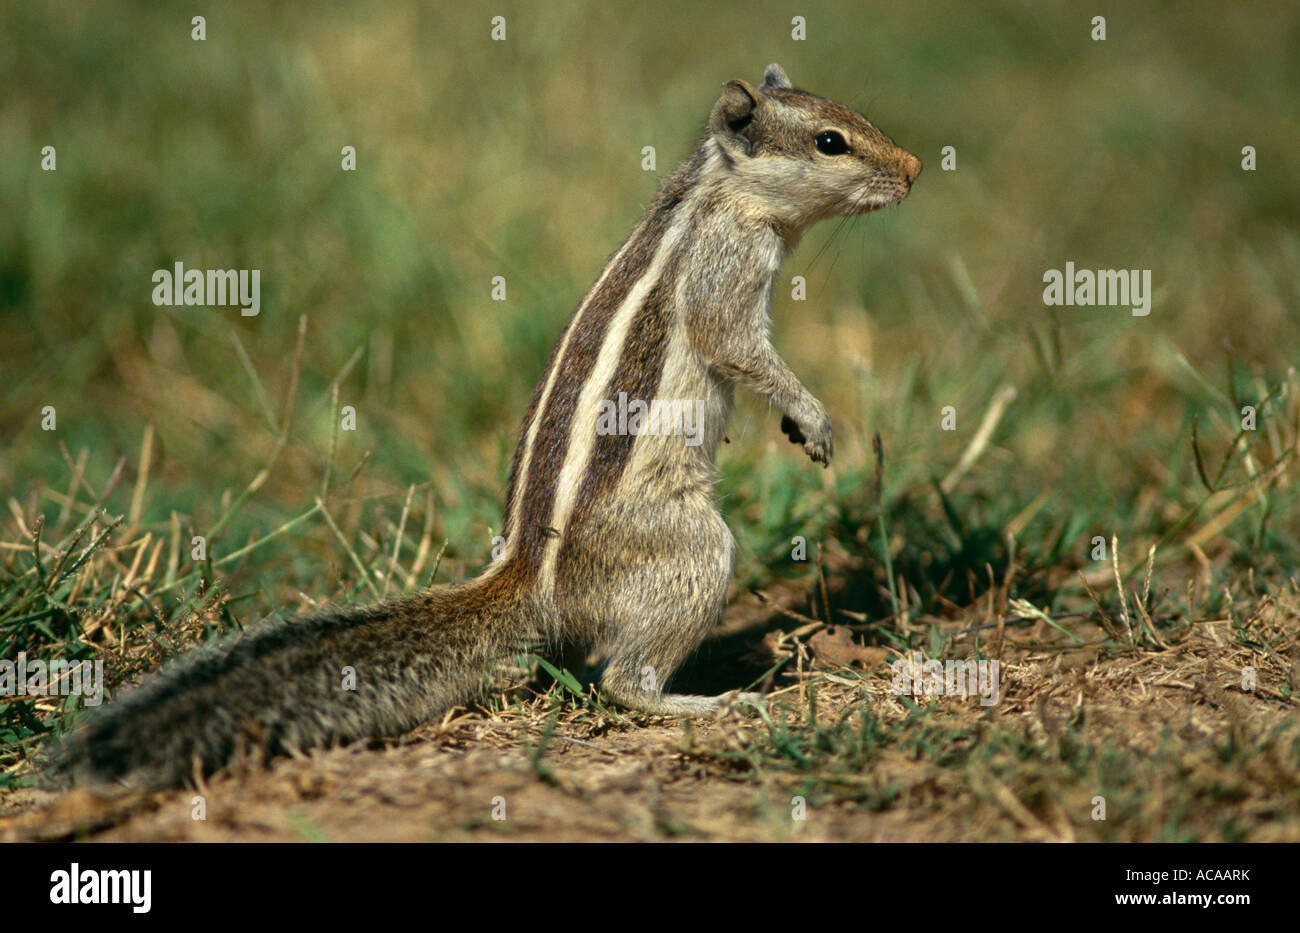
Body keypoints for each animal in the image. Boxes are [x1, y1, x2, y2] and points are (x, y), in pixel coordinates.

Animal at [50, 64, 920, 788]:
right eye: (830, 141)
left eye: (854, 115)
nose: (913, 169)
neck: (719, 191)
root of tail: (528, 574)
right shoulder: (726, 270)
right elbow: (736, 345)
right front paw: (812, 415)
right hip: (692, 548)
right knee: (620, 680)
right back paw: (700, 703)